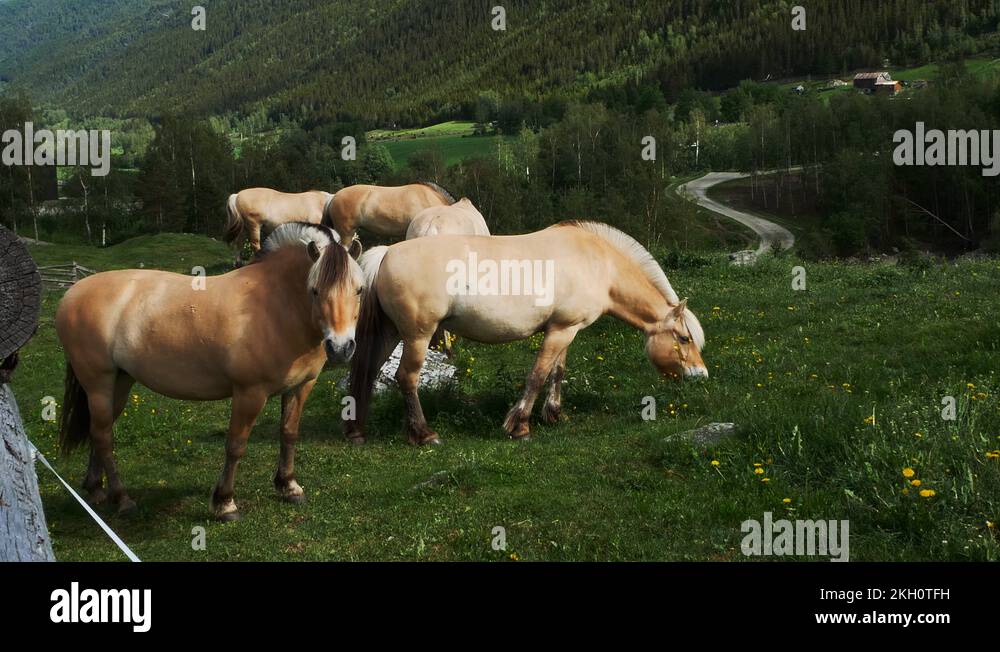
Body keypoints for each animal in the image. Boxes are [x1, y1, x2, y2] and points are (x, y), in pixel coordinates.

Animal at [56, 223, 364, 521]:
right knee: (103, 436)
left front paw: (289, 486)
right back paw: (122, 499)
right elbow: (236, 445)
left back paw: (96, 490)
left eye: (359, 290)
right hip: (98, 384)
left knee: (99, 430)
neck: (276, 305)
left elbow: (288, 433)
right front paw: (225, 504)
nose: (340, 348)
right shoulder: (249, 393)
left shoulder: (301, 387)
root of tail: (73, 292)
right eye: (314, 290)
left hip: (119, 383)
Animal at [344, 220, 707, 446]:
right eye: (684, 339)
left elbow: (557, 372)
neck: (596, 263)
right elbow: (538, 375)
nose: (700, 375)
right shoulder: (560, 332)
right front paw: (519, 426)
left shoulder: (566, 330)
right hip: (418, 336)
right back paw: (423, 434)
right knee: (406, 378)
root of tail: (388, 252)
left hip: (390, 333)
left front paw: (554, 415)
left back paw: (357, 431)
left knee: (367, 373)